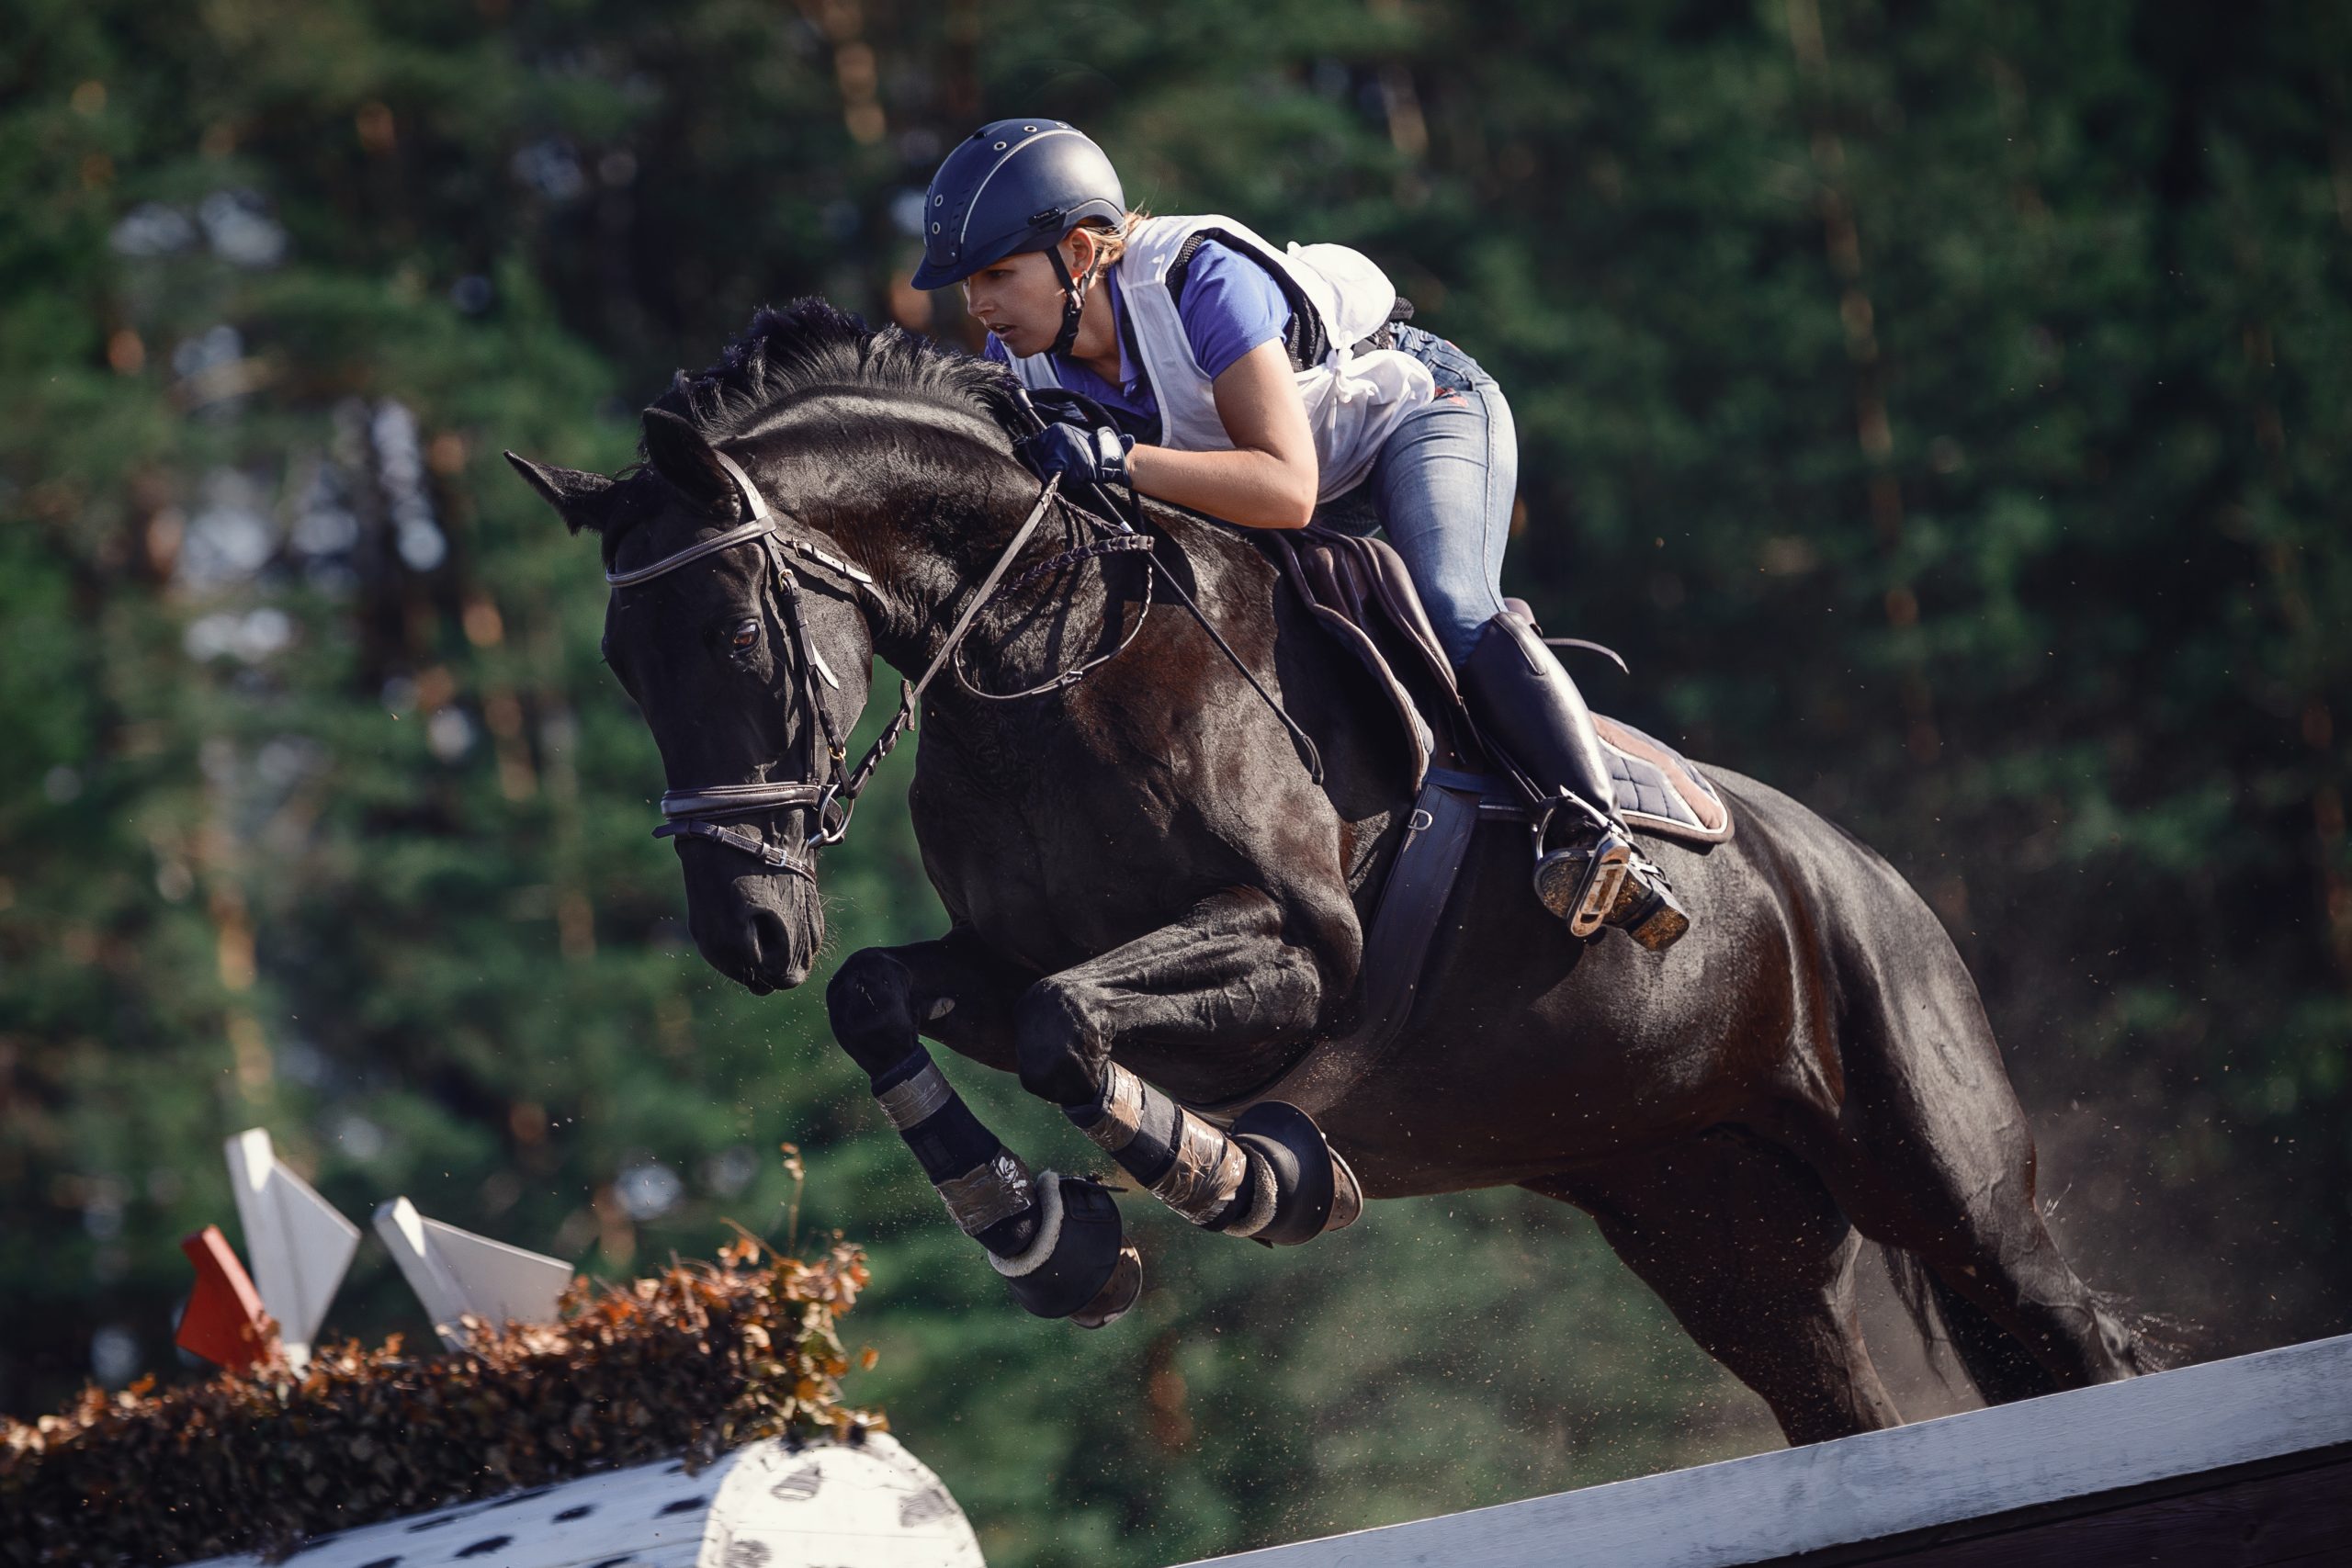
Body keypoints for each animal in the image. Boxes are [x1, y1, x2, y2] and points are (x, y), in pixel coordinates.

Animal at [506, 300, 2156, 1445]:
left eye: (732, 636)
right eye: (620, 664)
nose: (743, 928)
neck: (1047, 648)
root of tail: (1871, 874)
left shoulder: (1298, 952)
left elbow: (1069, 1022)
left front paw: (1228, 1170)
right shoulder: (992, 955)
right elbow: (888, 998)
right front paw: (1042, 1239)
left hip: (1943, 1183)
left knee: (2056, 1326)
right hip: (1712, 1222)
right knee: (1835, 1403)